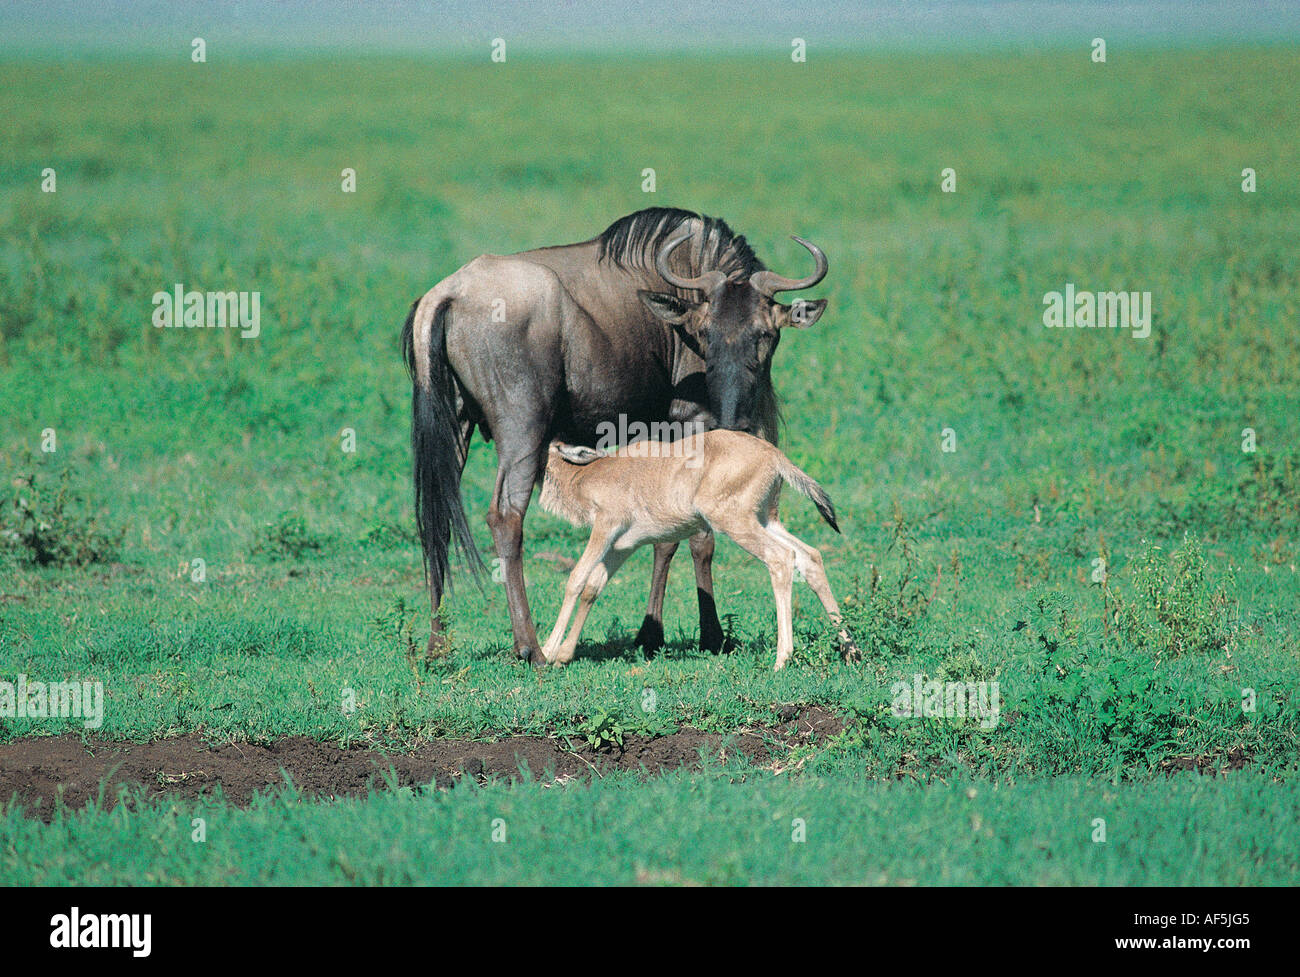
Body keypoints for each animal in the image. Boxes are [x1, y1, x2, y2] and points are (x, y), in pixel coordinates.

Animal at [538, 430, 859, 670]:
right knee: (810, 556)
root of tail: (775, 457)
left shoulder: (605, 528)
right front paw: (564, 655)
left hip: (734, 522)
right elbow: (593, 587)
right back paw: (851, 651)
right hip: (765, 519)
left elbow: (576, 579)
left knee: (781, 558)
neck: (588, 475)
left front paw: (547, 651)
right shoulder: (622, 546)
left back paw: (782, 659)